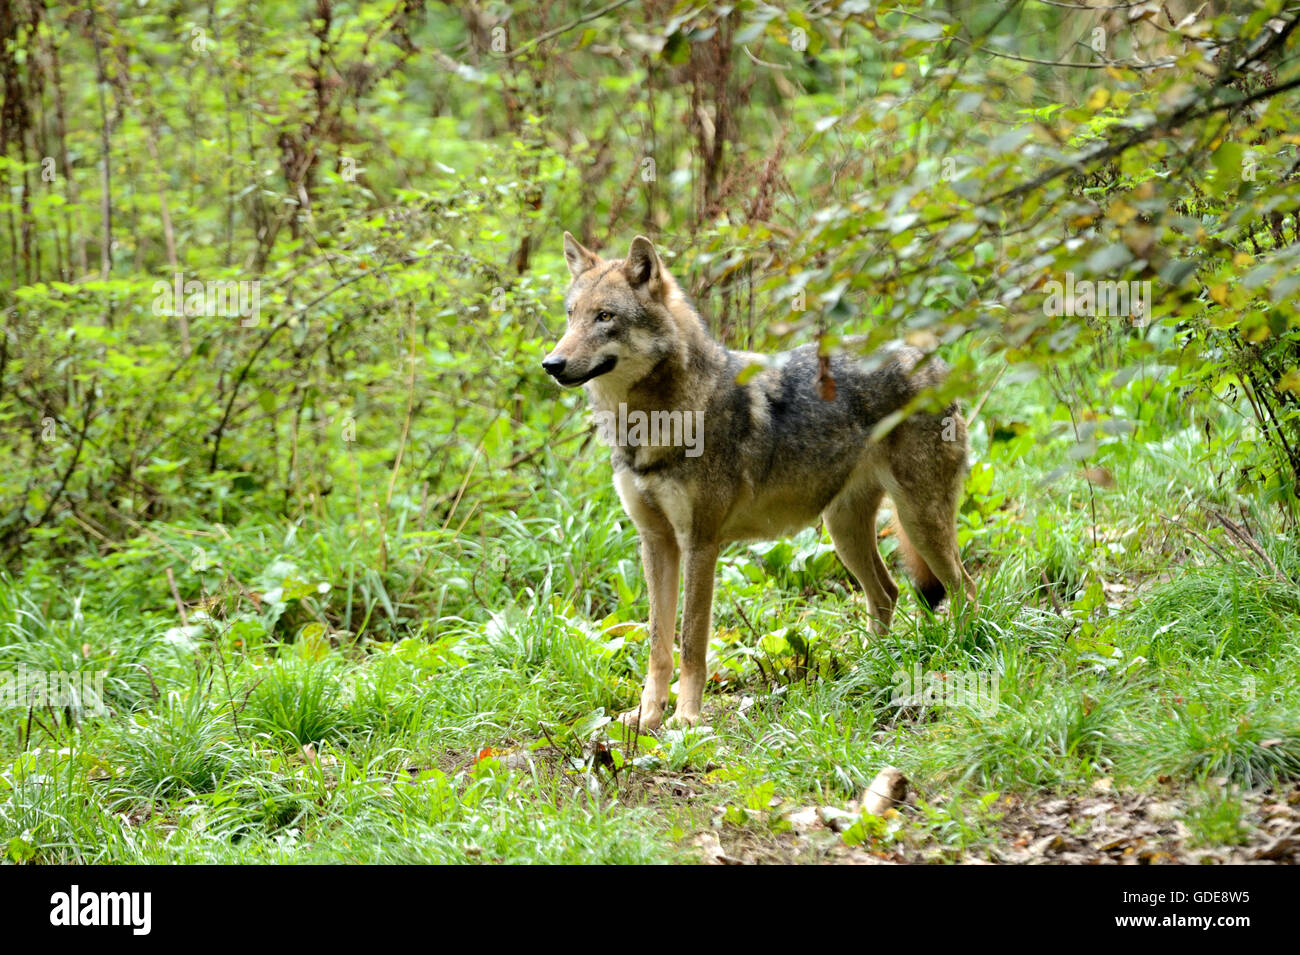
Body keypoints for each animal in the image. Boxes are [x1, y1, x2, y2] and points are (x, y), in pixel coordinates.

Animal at [543, 233, 977, 731]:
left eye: (605, 317)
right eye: (571, 314)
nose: (551, 364)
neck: (649, 423)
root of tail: (935, 362)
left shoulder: (700, 543)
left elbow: (691, 641)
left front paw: (686, 721)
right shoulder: (655, 541)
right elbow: (657, 644)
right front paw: (647, 717)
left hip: (918, 521)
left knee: (965, 587)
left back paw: (961, 656)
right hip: (845, 531)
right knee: (888, 593)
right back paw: (867, 671)